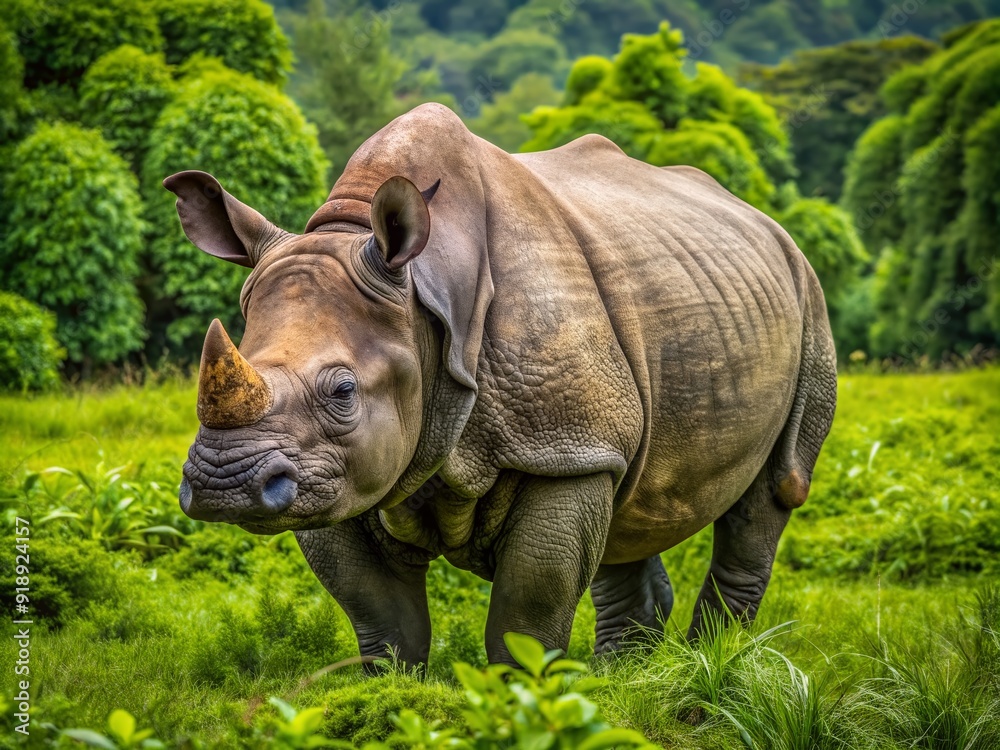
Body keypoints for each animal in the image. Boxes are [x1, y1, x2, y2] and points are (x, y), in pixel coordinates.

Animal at [170, 103, 836, 668]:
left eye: (343, 392)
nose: (224, 484)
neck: (424, 294)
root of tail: (762, 220)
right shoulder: (332, 476)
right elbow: (382, 619)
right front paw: (386, 696)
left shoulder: (561, 445)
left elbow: (527, 614)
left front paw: (526, 705)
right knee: (625, 498)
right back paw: (625, 679)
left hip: (807, 293)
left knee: (775, 488)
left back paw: (712, 663)